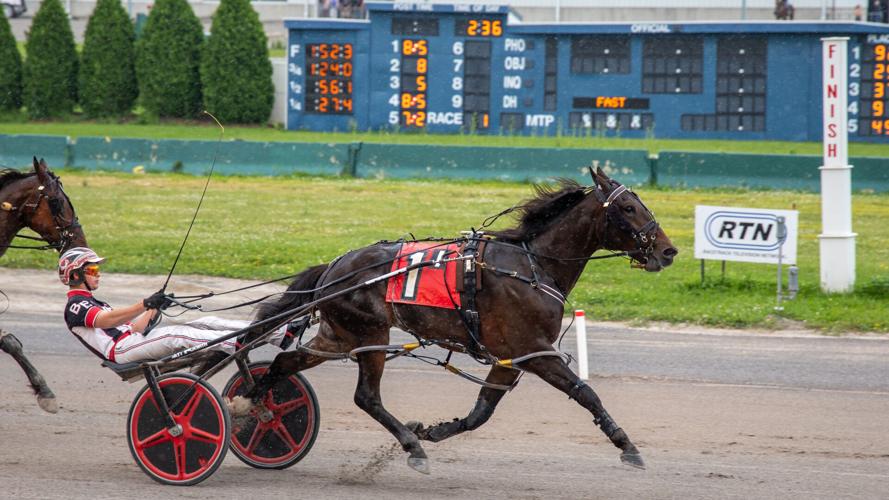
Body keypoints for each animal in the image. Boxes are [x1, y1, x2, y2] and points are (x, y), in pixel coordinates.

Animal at [230, 167, 678, 473]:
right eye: (628, 207)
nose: (668, 250)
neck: (532, 266)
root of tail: (334, 266)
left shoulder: (509, 358)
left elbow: (481, 412)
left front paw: (434, 430)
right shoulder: (535, 351)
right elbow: (586, 393)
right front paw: (626, 445)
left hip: (339, 337)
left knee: (285, 362)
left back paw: (255, 403)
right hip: (370, 333)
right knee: (366, 397)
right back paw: (411, 448)